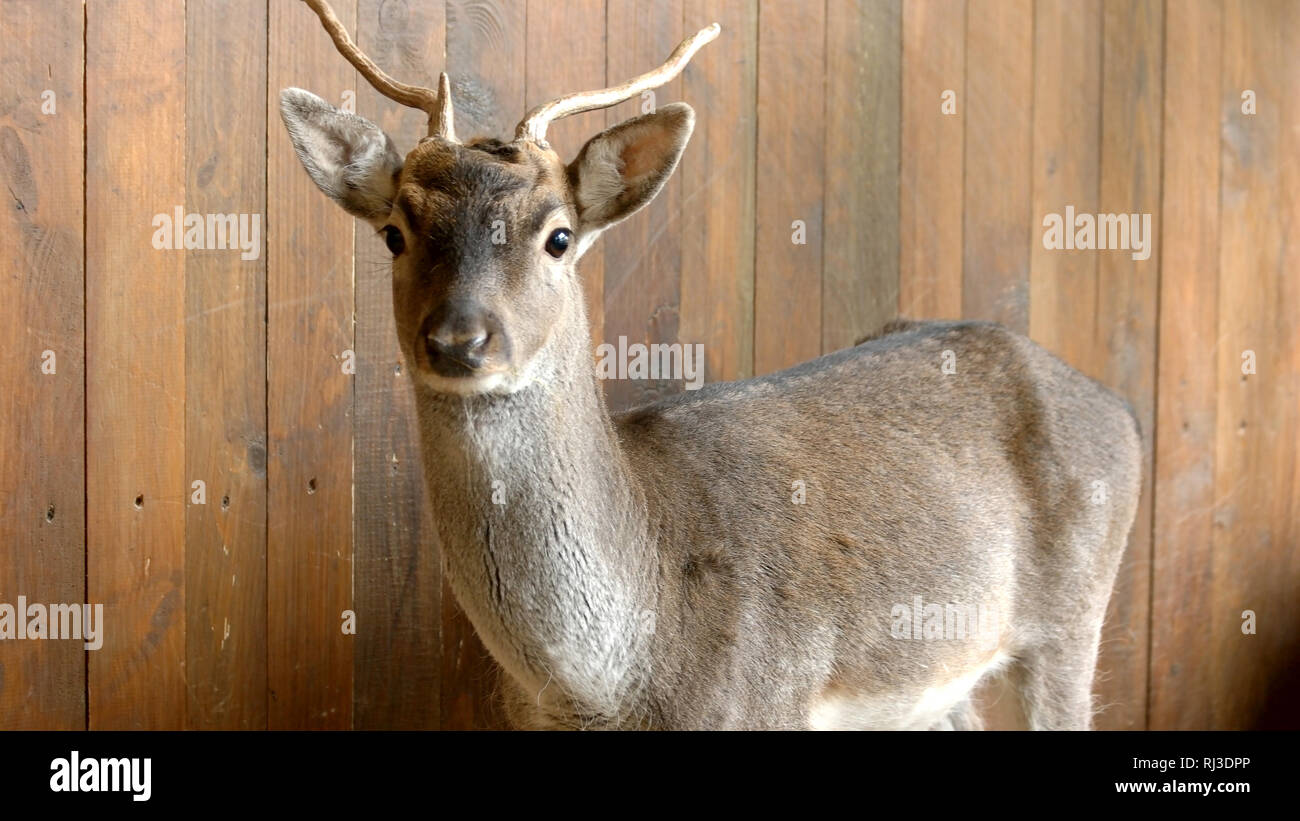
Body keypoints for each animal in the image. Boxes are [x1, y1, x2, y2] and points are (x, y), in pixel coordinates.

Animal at [279, 0, 1142, 730]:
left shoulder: (766, 697)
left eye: (558, 235)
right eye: (395, 231)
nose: (460, 340)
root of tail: (1126, 410)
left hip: (1071, 618)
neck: (604, 687)